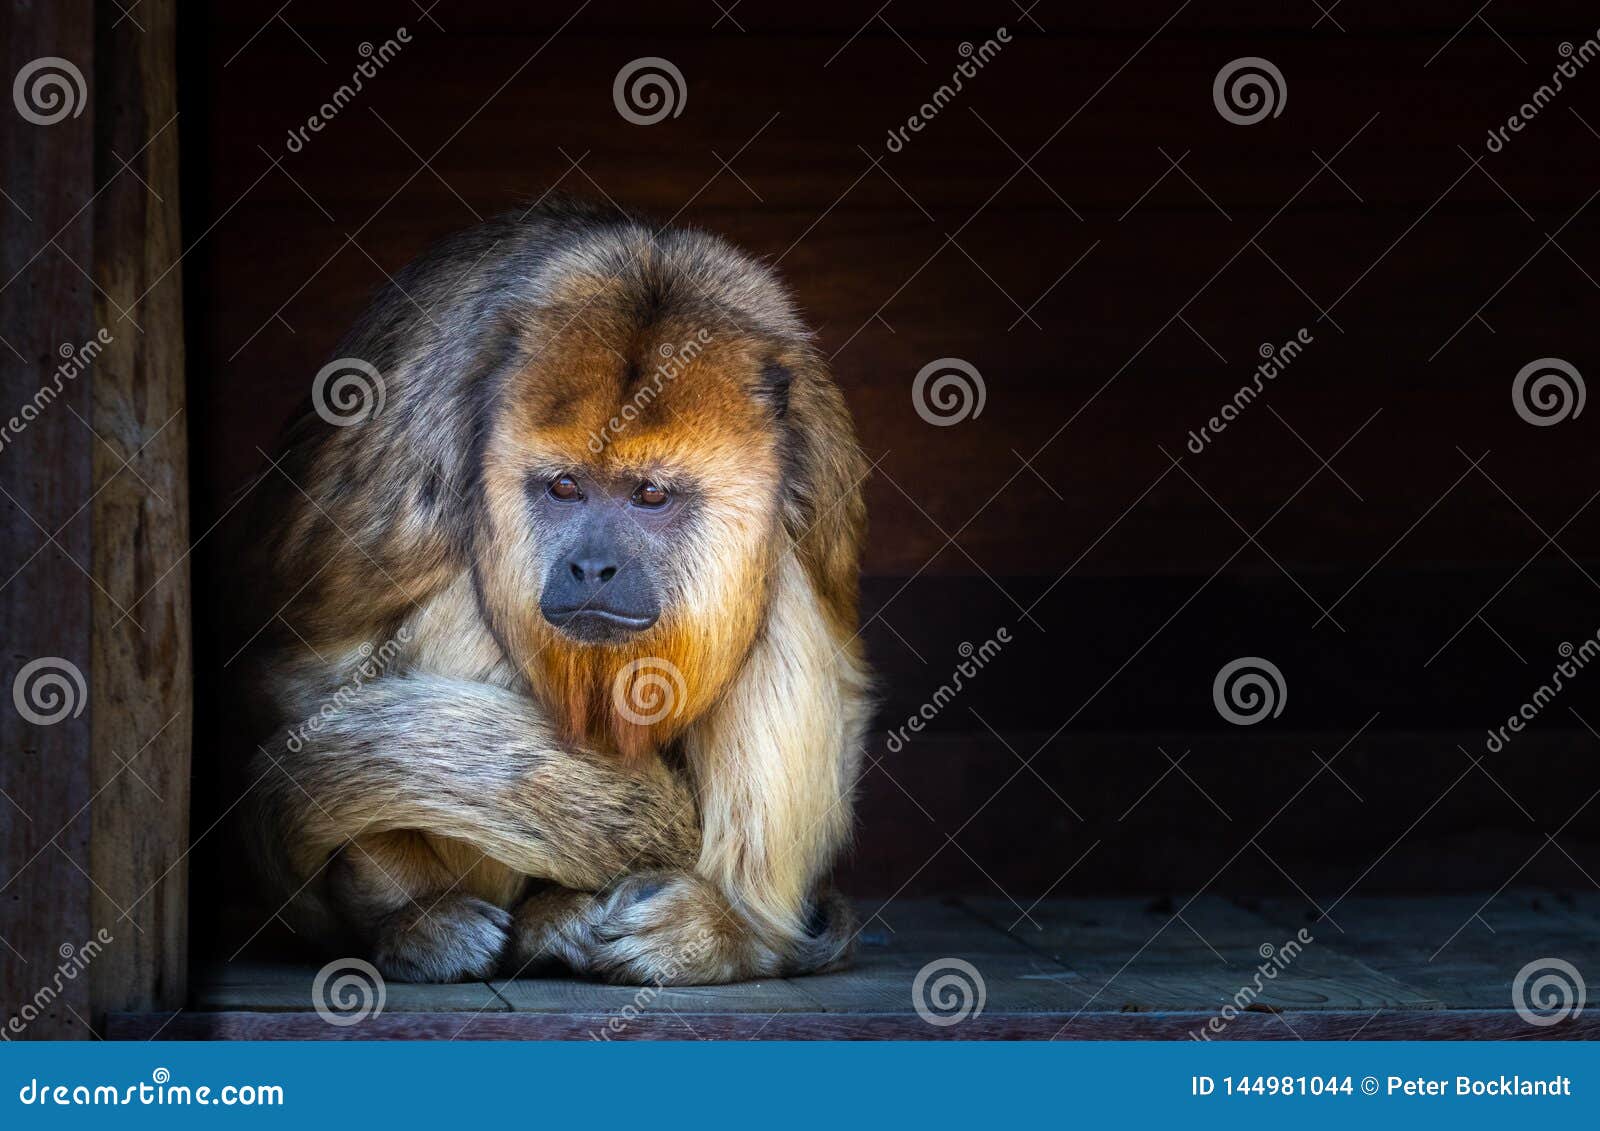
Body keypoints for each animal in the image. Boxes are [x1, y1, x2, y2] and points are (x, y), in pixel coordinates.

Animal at [228, 197, 872, 985]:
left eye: (650, 495)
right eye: (564, 487)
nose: (592, 566)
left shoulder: (819, 447)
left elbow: (842, 671)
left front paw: (741, 934)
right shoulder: (410, 444)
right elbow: (312, 674)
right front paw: (413, 920)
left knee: (782, 594)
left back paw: (726, 930)